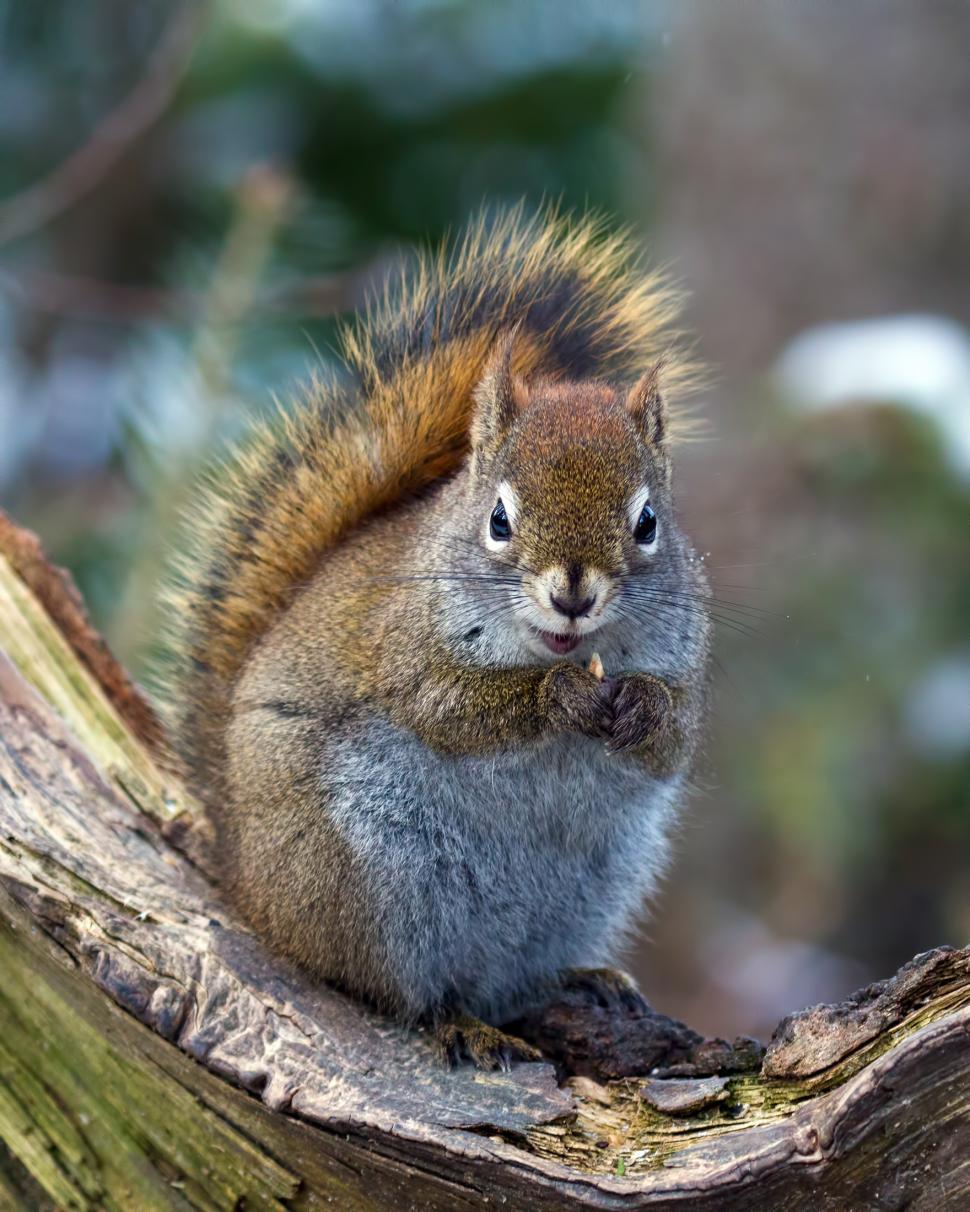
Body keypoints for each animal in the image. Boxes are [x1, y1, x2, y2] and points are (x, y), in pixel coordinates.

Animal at [165, 208, 711, 1068]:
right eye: (499, 519)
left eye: (648, 521)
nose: (574, 594)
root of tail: (245, 880)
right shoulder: (404, 649)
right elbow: (453, 710)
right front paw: (558, 698)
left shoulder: (687, 659)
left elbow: (674, 738)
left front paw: (640, 708)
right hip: (371, 877)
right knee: (397, 989)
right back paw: (457, 1020)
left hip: (592, 886)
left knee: (514, 978)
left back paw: (581, 980)